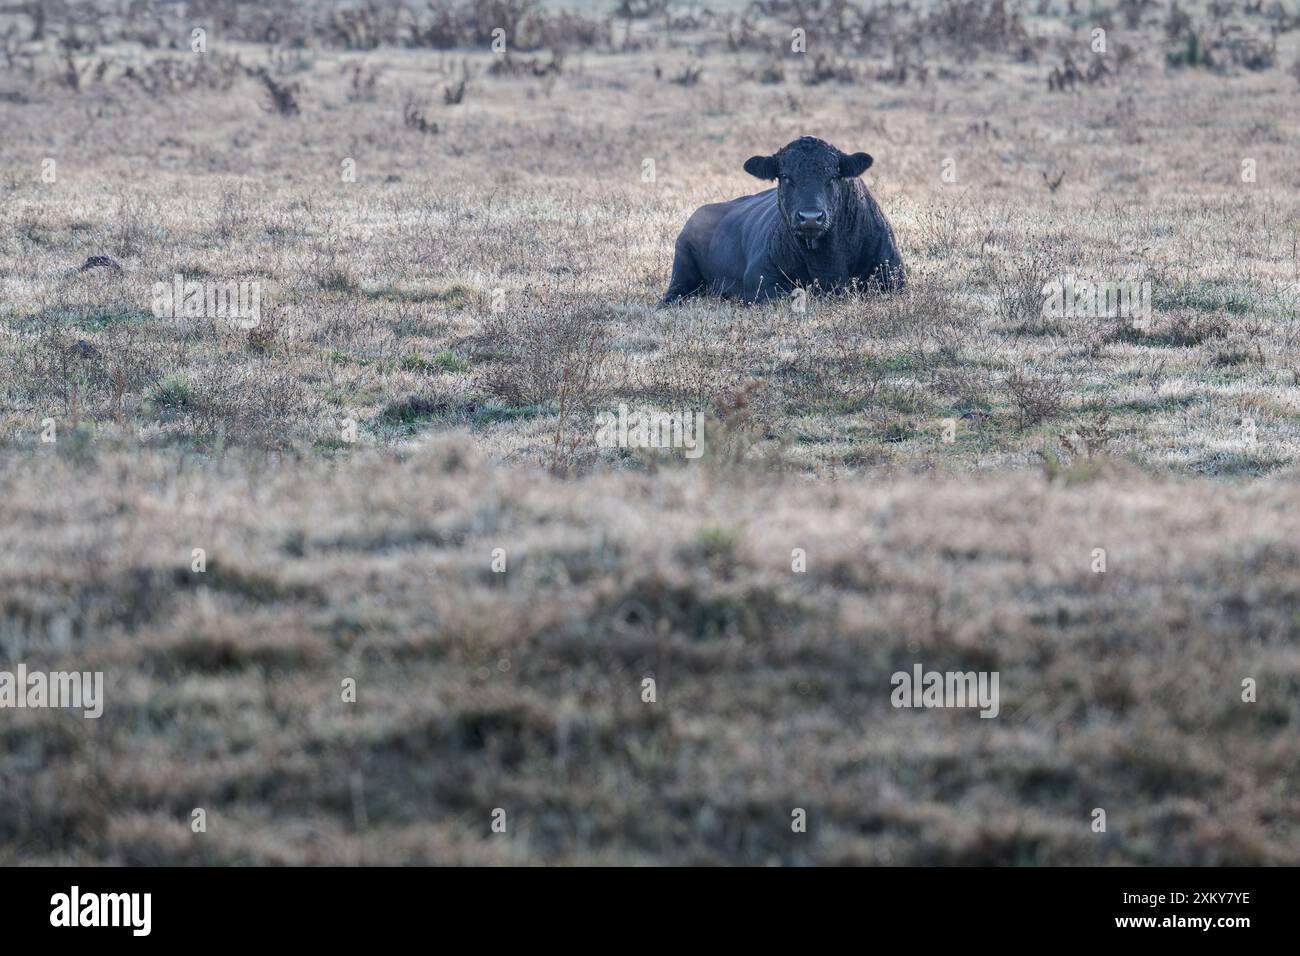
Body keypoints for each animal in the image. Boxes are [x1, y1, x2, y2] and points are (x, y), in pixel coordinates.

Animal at [661, 136, 905, 305]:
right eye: (786, 177)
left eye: (833, 176)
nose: (810, 218)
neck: (828, 264)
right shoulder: (761, 281)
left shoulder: (893, 278)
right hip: (682, 271)